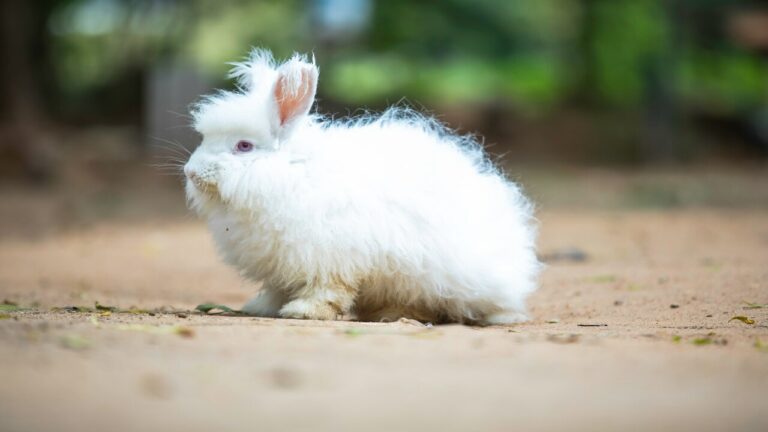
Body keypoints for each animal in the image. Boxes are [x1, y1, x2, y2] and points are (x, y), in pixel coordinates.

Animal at [184, 48, 541, 325]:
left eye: (243, 146)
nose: (190, 171)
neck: (289, 173)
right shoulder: (280, 265)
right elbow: (276, 290)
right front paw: (260, 307)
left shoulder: (328, 257)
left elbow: (328, 290)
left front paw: (303, 311)